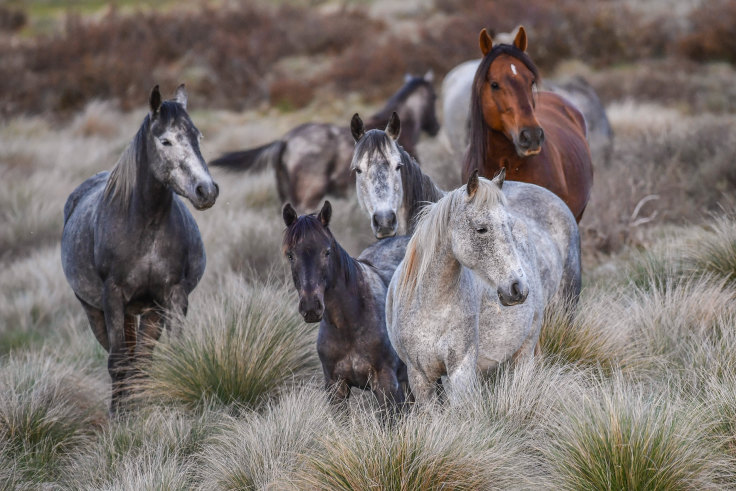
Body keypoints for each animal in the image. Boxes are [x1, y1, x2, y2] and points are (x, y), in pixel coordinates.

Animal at [61, 85, 219, 415]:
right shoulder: (112, 297)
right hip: (95, 311)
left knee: (142, 359)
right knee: (121, 357)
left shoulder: (172, 296)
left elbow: (168, 354)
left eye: (197, 136)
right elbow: (118, 361)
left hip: (147, 311)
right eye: (165, 140)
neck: (144, 226)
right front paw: (119, 415)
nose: (206, 190)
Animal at [282, 201, 410, 410]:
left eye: (326, 252)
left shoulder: (387, 386)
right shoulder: (336, 387)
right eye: (291, 255)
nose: (311, 307)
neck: (350, 323)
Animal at [385, 170, 580, 404]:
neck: (430, 308)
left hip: (525, 350)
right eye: (481, 229)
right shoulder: (420, 378)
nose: (518, 288)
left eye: (508, 227)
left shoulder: (460, 371)